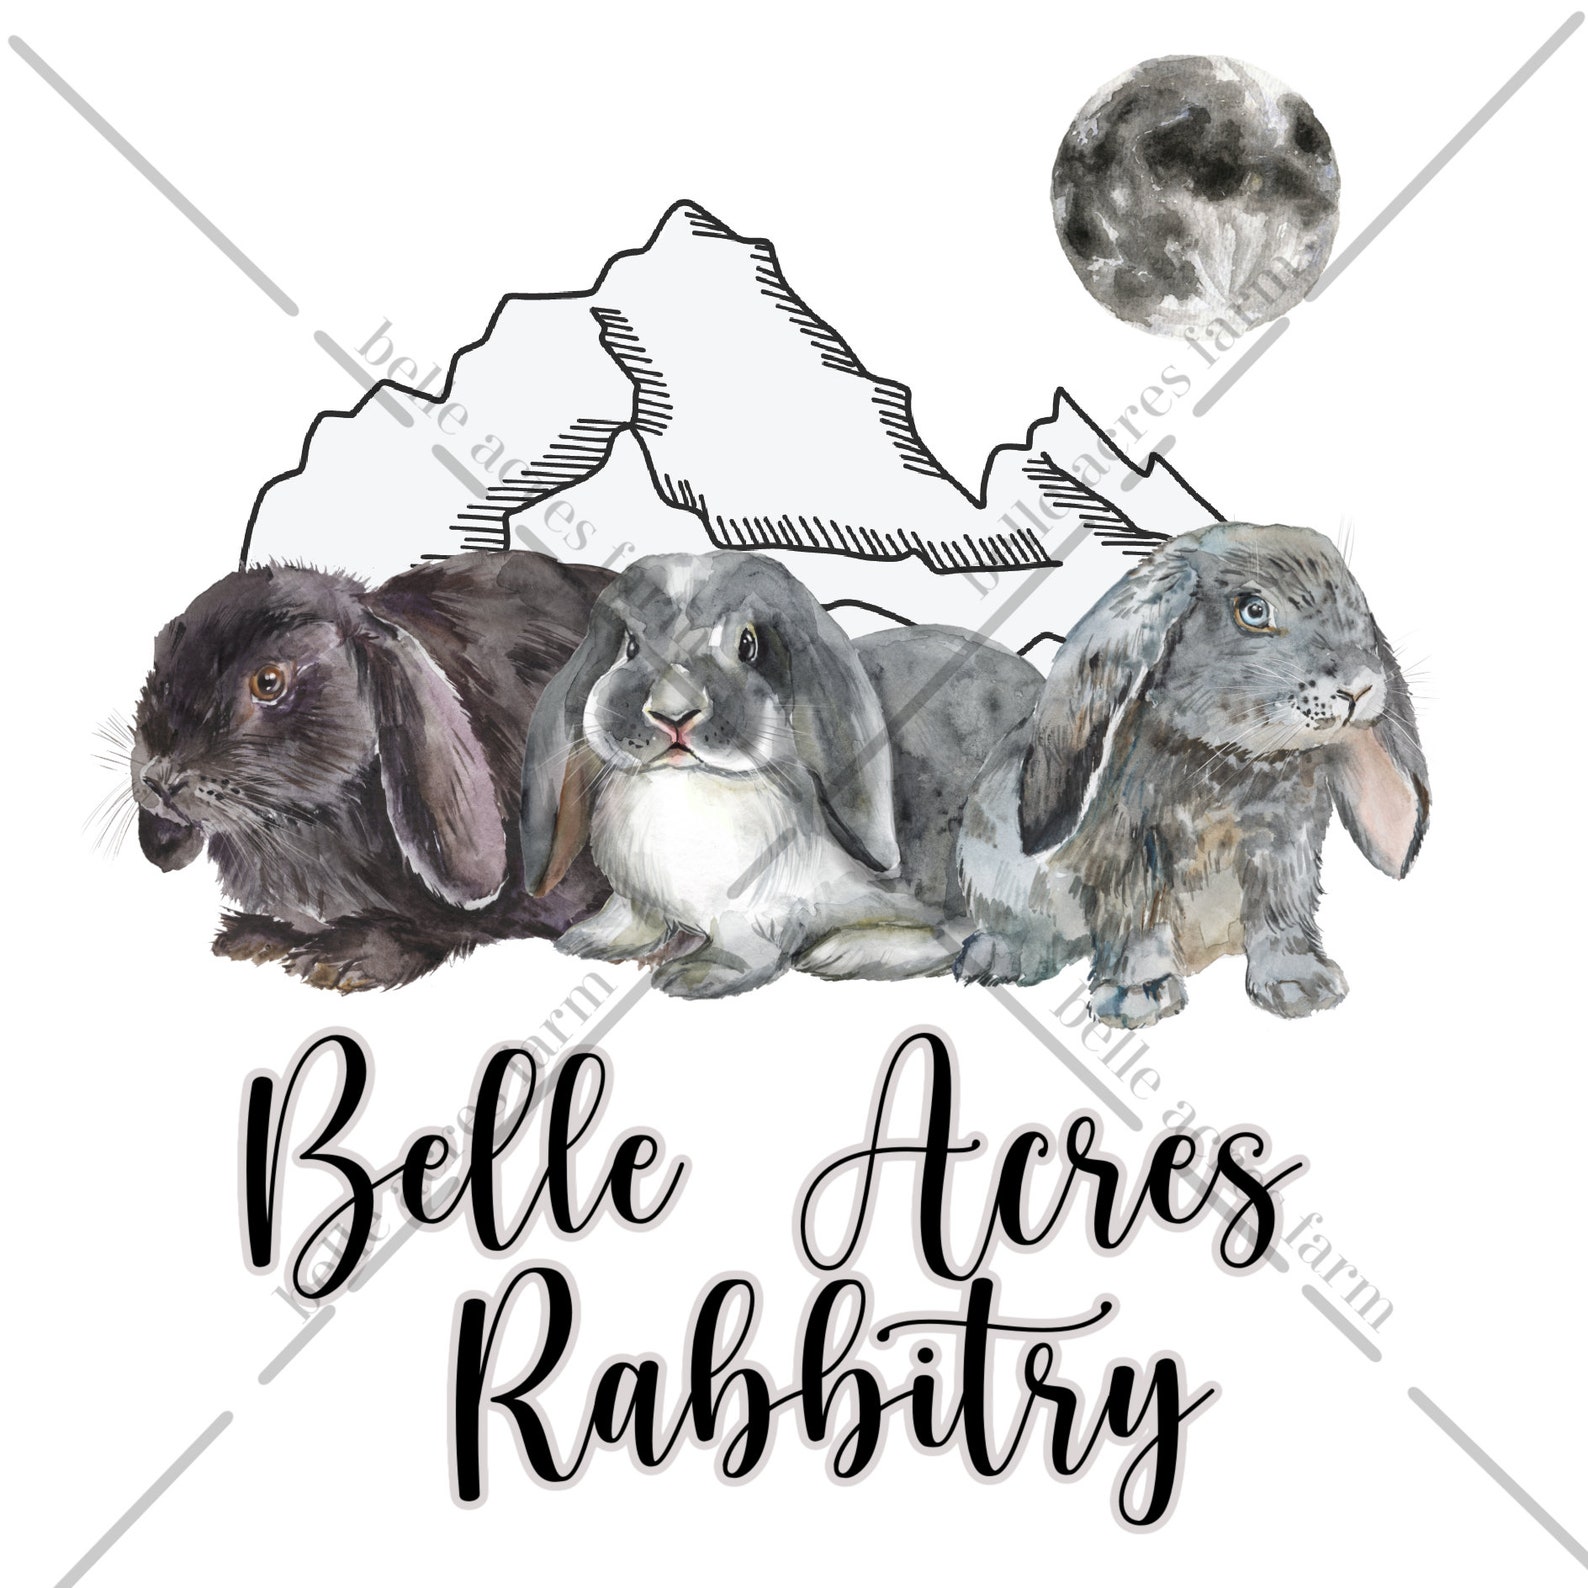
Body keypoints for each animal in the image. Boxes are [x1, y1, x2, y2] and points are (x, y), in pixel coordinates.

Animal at [130, 550, 614, 991]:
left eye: (268, 682)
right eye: (161, 672)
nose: (159, 779)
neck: (299, 825)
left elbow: (452, 926)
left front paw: (342, 960)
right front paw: (250, 938)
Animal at [519, 551, 1043, 999]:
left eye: (748, 645)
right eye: (629, 645)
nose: (673, 714)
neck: (688, 784)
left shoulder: (753, 914)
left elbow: (747, 950)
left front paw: (695, 975)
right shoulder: (637, 898)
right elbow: (632, 915)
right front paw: (587, 940)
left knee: (974, 933)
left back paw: (845, 952)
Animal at [955, 522, 1429, 1027]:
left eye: (1358, 603)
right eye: (1254, 610)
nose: (1361, 685)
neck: (1227, 754)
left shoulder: (1284, 845)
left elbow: (1281, 912)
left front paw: (1300, 986)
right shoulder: (1131, 849)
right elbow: (1138, 920)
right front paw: (1137, 995)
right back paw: (993, 958)